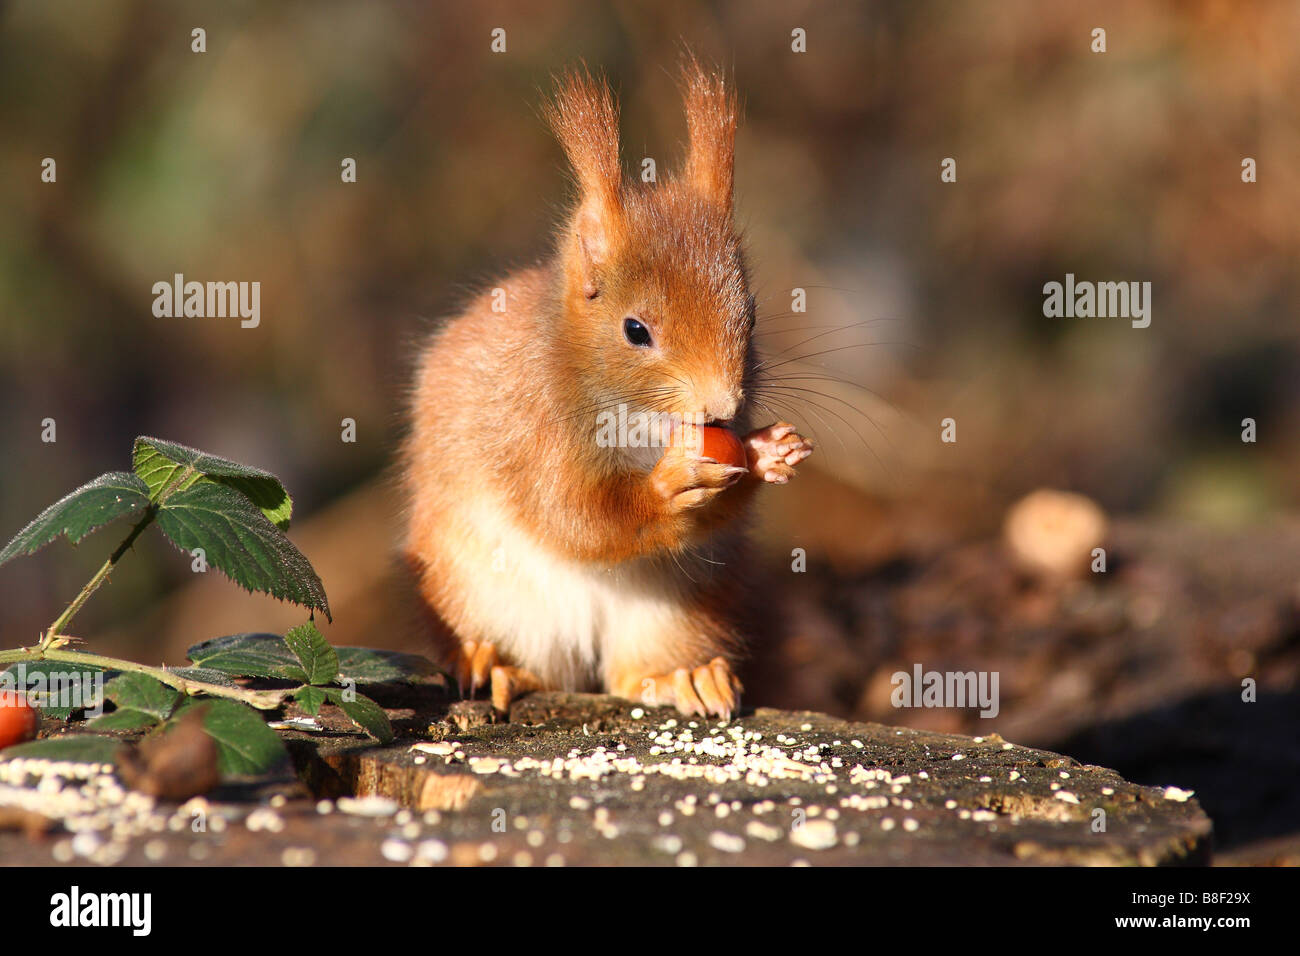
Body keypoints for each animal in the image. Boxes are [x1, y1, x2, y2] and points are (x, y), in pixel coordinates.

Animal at [402, 60, 814, 719]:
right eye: (635, 330)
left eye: (749, 317)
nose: (721, 408)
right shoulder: (531, 435)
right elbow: (575, 517)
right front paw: (670, 488)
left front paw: (770, 451)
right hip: (479, 589)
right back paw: (494, 662)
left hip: (680, 609)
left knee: (634, 671)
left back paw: (683, 677)